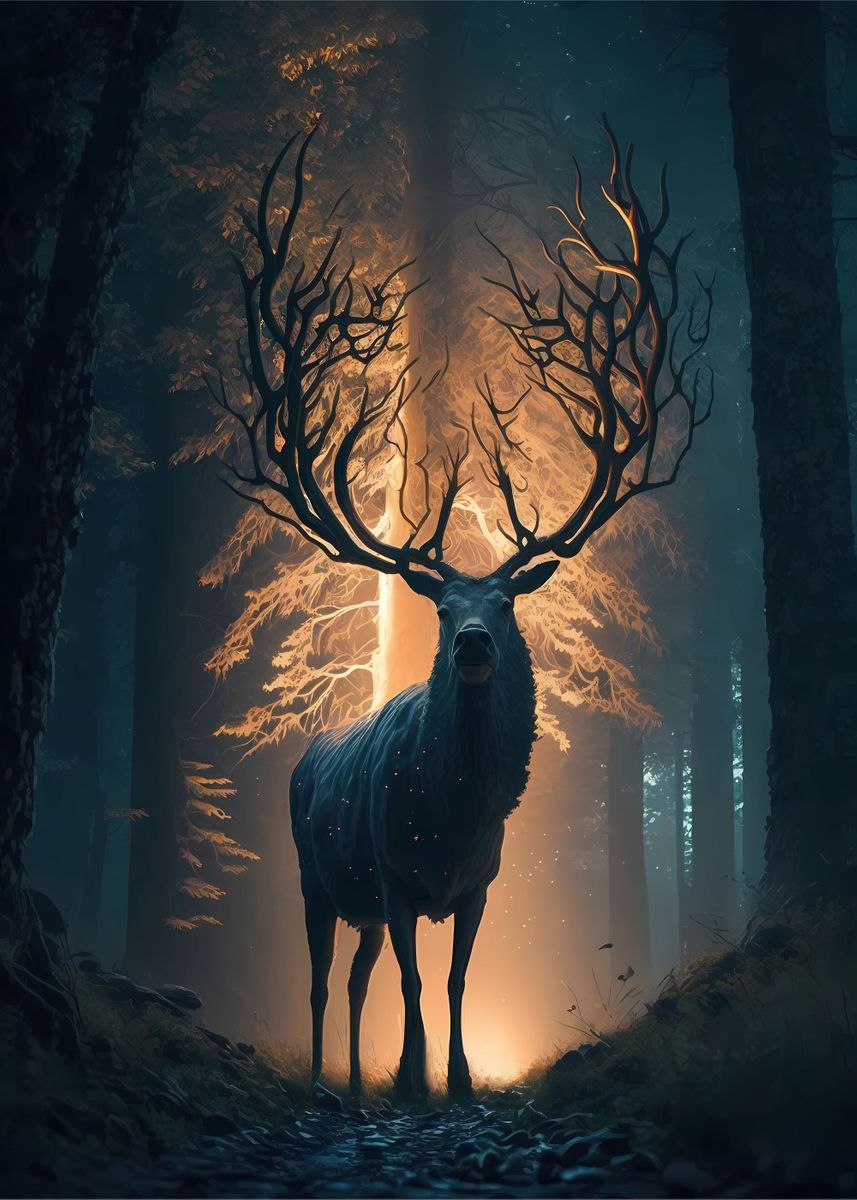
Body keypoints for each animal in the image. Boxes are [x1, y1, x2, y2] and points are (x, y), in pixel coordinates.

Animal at [218, 124, 712, 1100]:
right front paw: (412, 1080)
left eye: (508, 603)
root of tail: (310, 751)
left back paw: (358, 1079)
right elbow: (414, 980)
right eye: (445, 609)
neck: (448, 823)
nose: (476, 642)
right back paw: (328, 1077)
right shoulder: (395, 878)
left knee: (359, 975)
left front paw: (448, 1076)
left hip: (361, 902)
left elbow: (448, 983)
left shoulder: (477, 887)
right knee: (322, 981)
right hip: (316, 878)